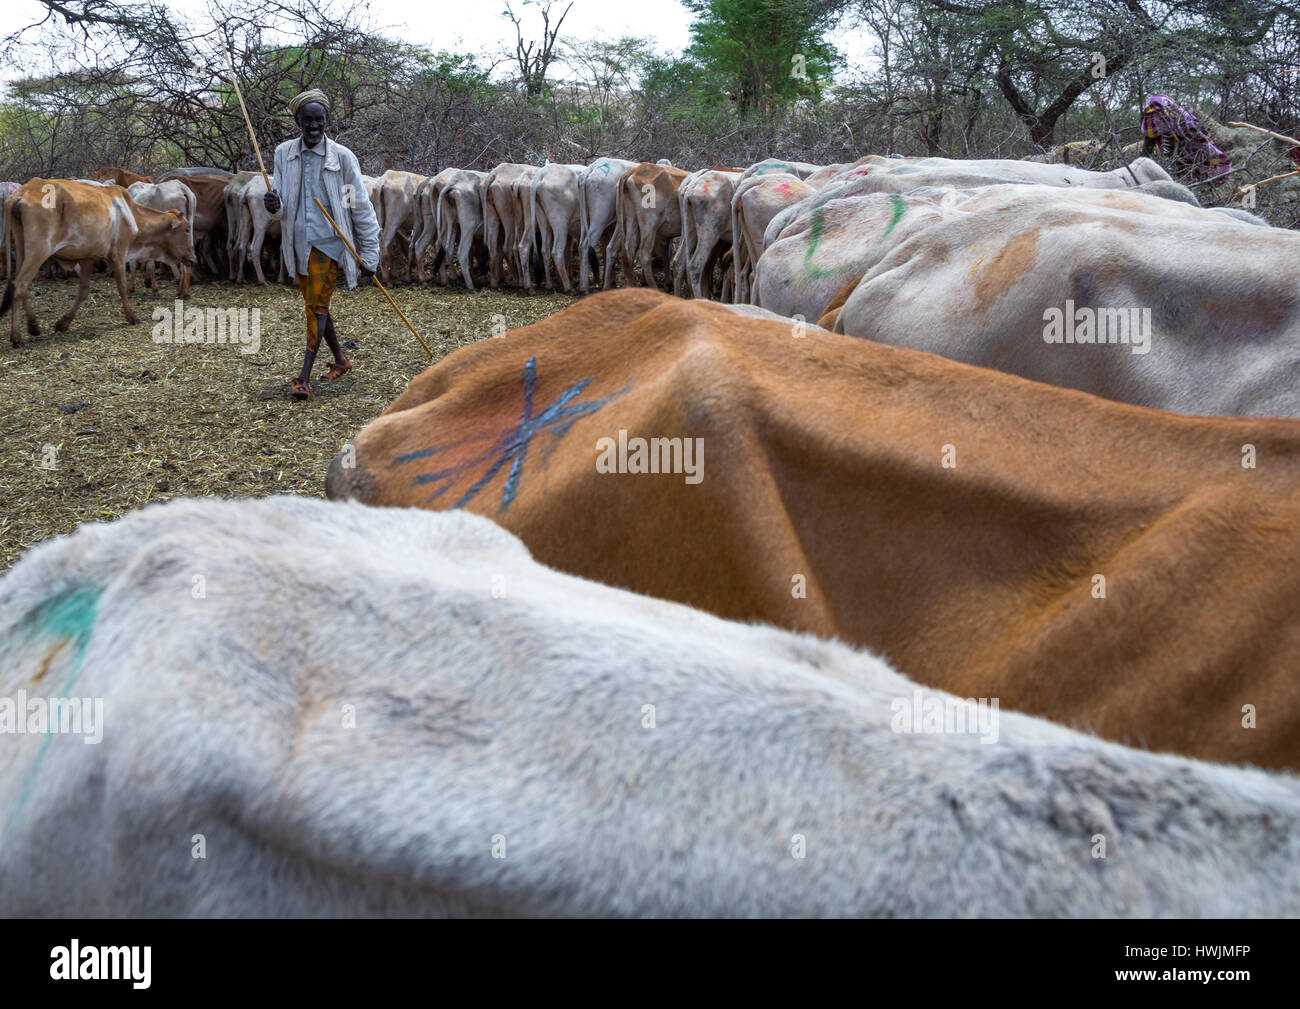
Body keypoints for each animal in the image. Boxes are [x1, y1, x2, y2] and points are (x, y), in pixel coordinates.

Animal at [1, 179, 196, 346]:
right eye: (187, 229)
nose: (193, 259)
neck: (131, 213)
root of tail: (22, 192)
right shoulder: (119, 254)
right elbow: (122, 287)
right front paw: (131, 316)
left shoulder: (88, 258)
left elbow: (83, 291)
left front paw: (63, 323)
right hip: (39, 251)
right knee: (20, 284)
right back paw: (17, 337)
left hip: (22, 248)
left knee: (19, 285)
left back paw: (33, 326)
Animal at [577, 157, 638, 294]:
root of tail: (591, 169)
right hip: (600, 218)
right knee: (587, 245)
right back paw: (585, 288)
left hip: (586, 218)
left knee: (582, 245)